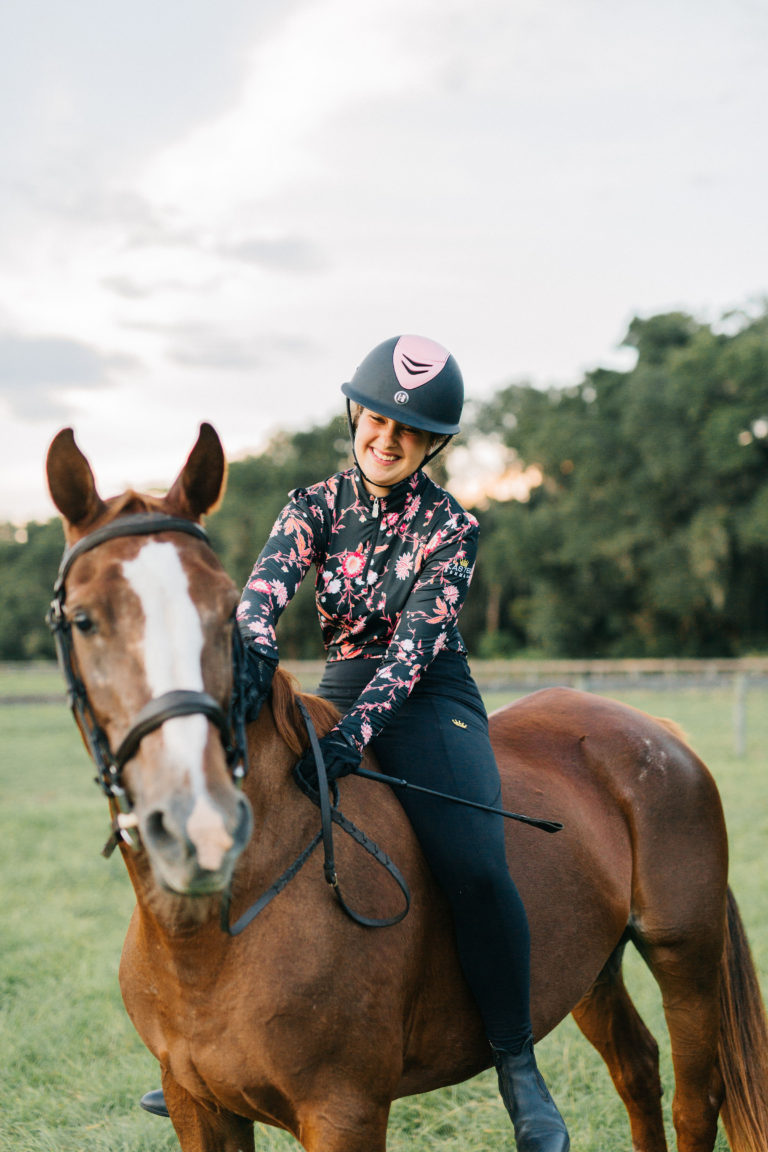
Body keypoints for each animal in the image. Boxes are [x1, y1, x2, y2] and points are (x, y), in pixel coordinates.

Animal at [46, 422, 768, 1152]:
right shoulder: (197, 1105)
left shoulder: (346, 1112)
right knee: (637, 1070)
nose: (200, 826)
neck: (209, 940)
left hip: (685, 957)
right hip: (592, 965)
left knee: (695, 1099)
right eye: (83, 619)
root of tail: (655, 730)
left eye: (225, 613)